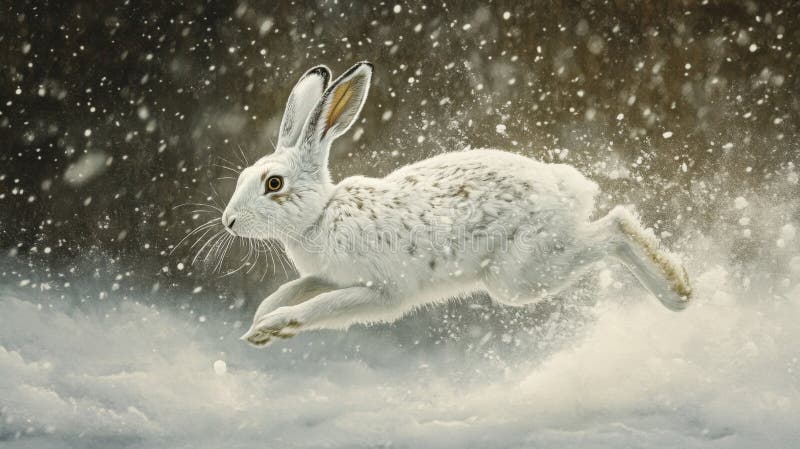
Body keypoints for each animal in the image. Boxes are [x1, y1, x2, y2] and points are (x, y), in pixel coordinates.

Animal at [222, 61, 692, 347]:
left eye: (274, 184)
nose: (228, 221)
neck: (317, 216)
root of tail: (568, 187)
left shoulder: (382, 292)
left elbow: (322, 306)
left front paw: (271, 328)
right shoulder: (327, 275)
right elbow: (294, 289)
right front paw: (258, 323)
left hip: (522, 272)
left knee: (614, 227)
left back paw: (678, 291)